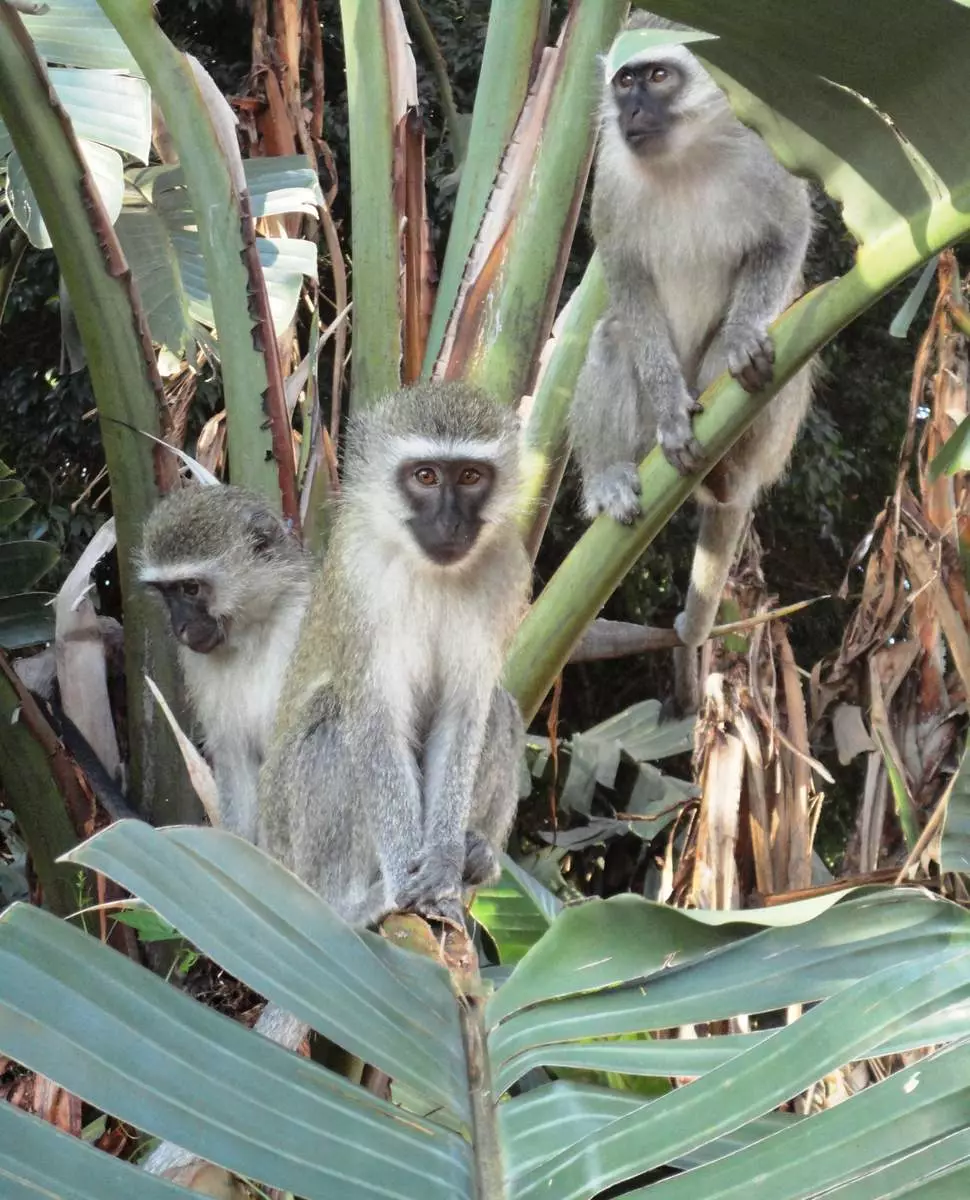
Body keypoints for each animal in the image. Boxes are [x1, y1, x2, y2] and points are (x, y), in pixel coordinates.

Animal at [258, 381, 530, 926]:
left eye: (471, 476)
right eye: (425, 476)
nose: (449, 522)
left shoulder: (507, 569)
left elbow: (464, 714)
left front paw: (444, 862)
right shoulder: (359, 572)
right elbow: (374, 721)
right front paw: (407, 874)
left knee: (499, 706)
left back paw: (477, 854)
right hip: (287, 844)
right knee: (332, 717)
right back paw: (348, 904)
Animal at [571, 11, 816, 710]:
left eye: (657, 75)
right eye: (624, 81)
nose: (631, 111)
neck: (682, 158)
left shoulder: (762, 152)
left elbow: (785, 237)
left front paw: (741, 340)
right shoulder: (610, 180)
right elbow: (626, 282)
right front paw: (671, 412)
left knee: (776, 359)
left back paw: (727, 466)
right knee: (613, 337)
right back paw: (615, 475)